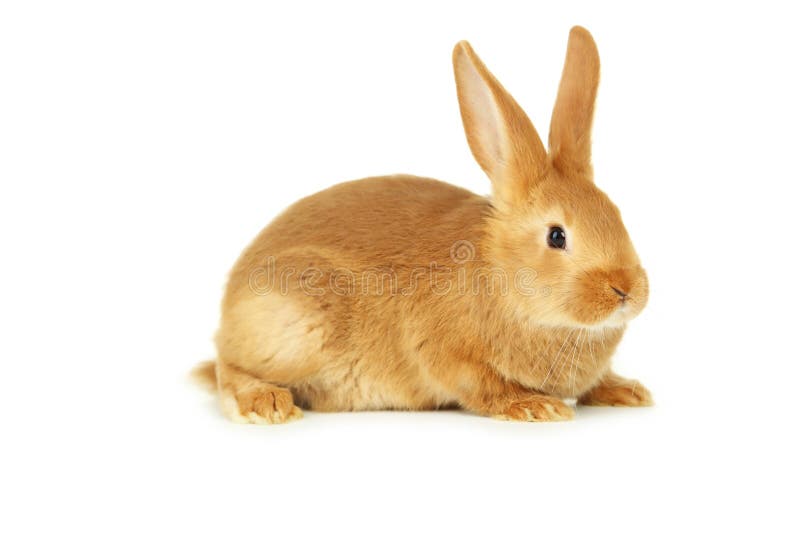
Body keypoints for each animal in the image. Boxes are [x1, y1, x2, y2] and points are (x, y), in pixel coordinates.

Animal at [193, 26, 652, 424]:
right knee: (226, 369)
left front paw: (626, 391)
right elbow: (482, 385)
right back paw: (265, 403)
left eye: (616, 213)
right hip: (300, 321)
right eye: (557, 236)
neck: (500, 274)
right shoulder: (444, 353)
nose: (627, 290)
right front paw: (535, 406)